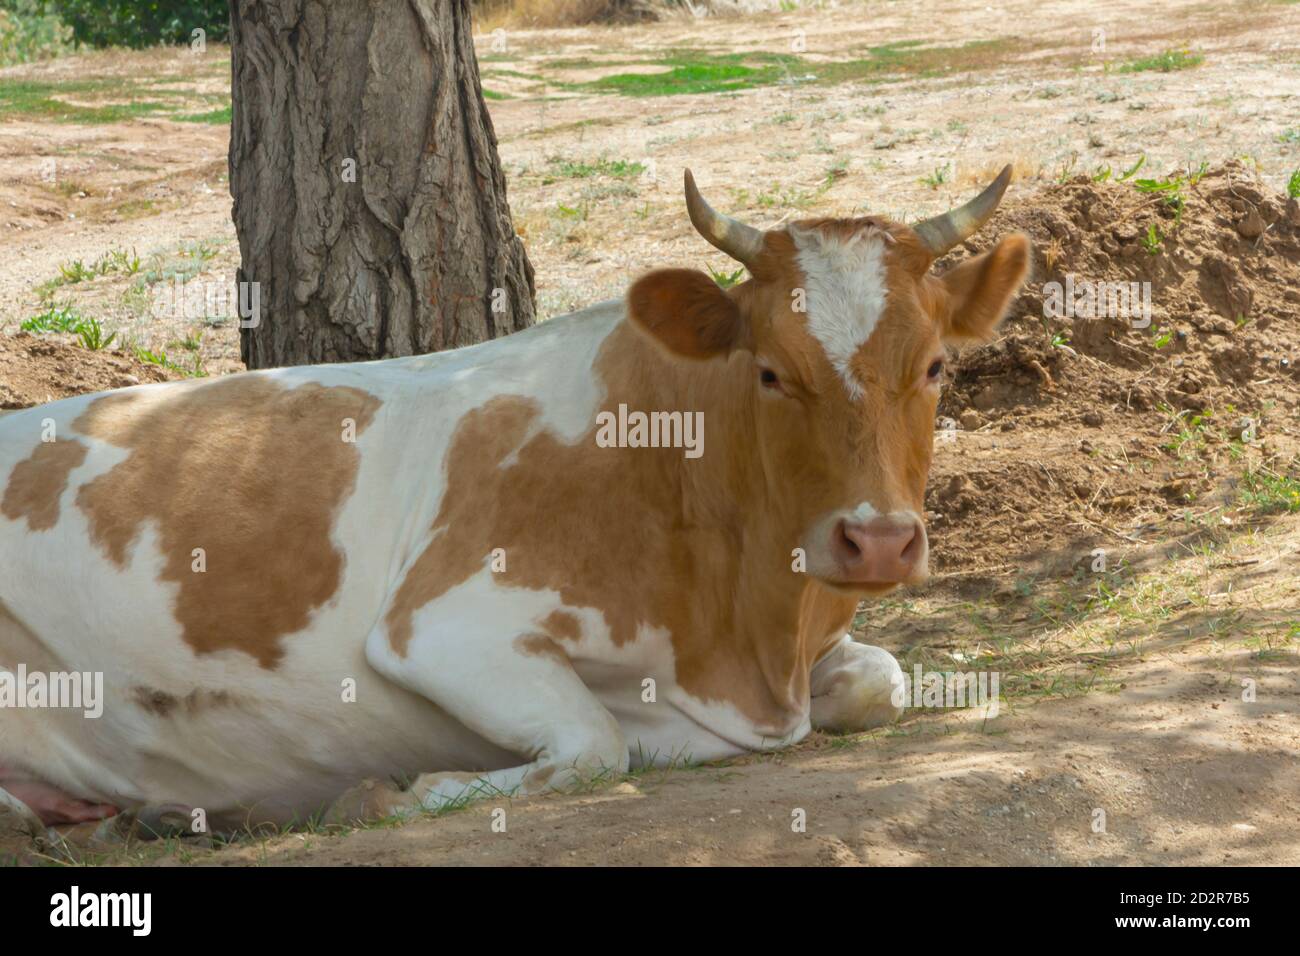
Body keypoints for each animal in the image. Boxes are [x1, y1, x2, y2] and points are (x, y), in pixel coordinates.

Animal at [0, 168, 1028, 838]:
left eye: (935, 367)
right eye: (772, 371)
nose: (879, 541)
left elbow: (882, 680)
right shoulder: (441, 624)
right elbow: (594, 744)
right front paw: (392, 794)